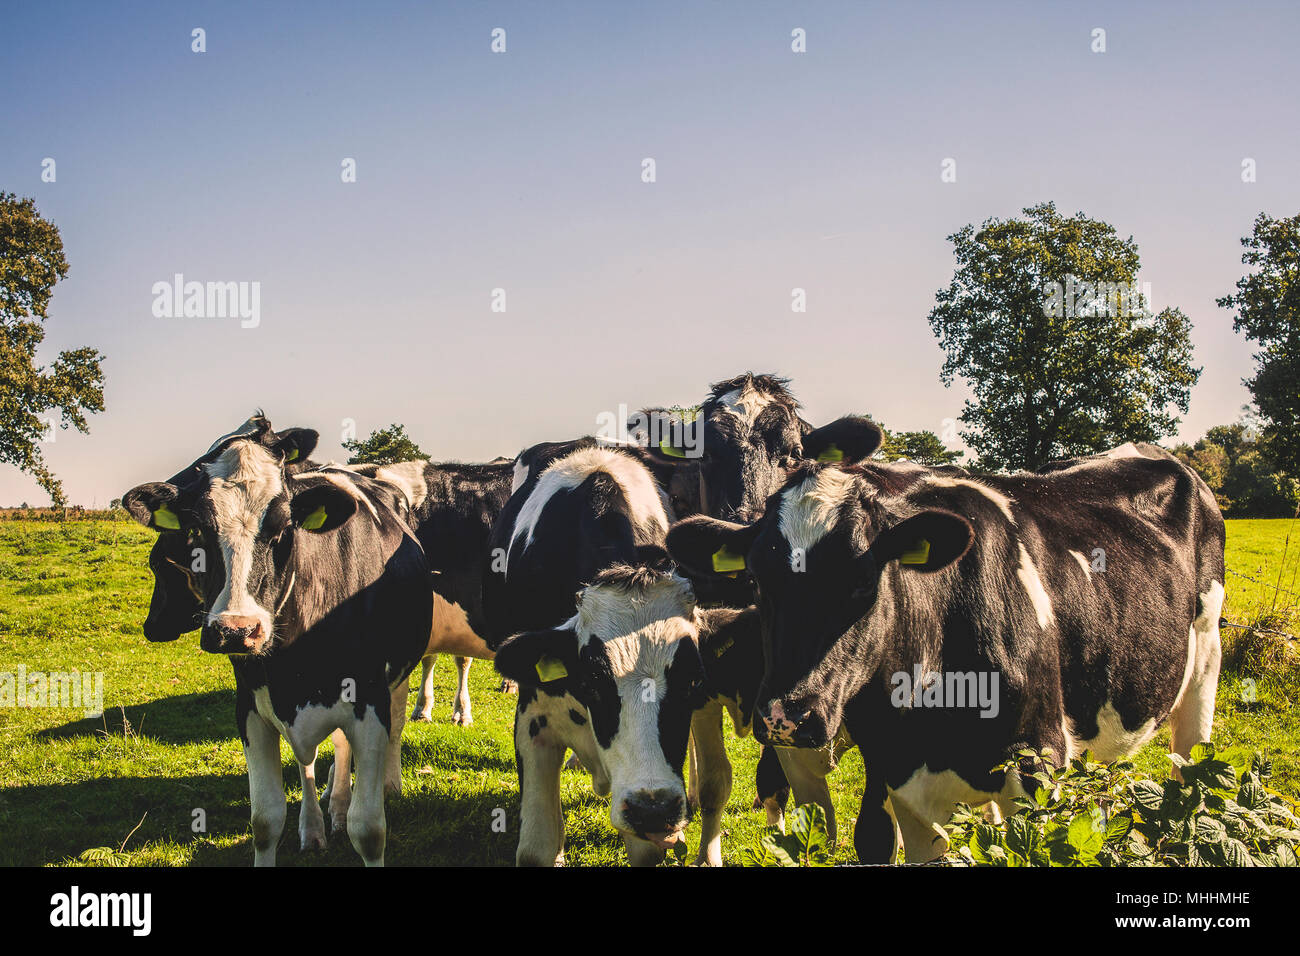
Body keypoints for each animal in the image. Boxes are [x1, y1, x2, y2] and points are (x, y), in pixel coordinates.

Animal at [123, 418, 432, 866]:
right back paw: (318, 822)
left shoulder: (370, 703)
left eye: (284, 527)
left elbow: (369, 829)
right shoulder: (251, 709)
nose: (236, 629)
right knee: (314, 758)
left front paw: (358, 810)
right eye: (198, 530)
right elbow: (265, 820)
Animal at [667, 437, 1225, 863]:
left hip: (1205, 663)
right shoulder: (904, 781)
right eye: (758, 581)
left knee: (1189, 779)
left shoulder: (1039, 765)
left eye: (863, 582)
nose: (786, 717)